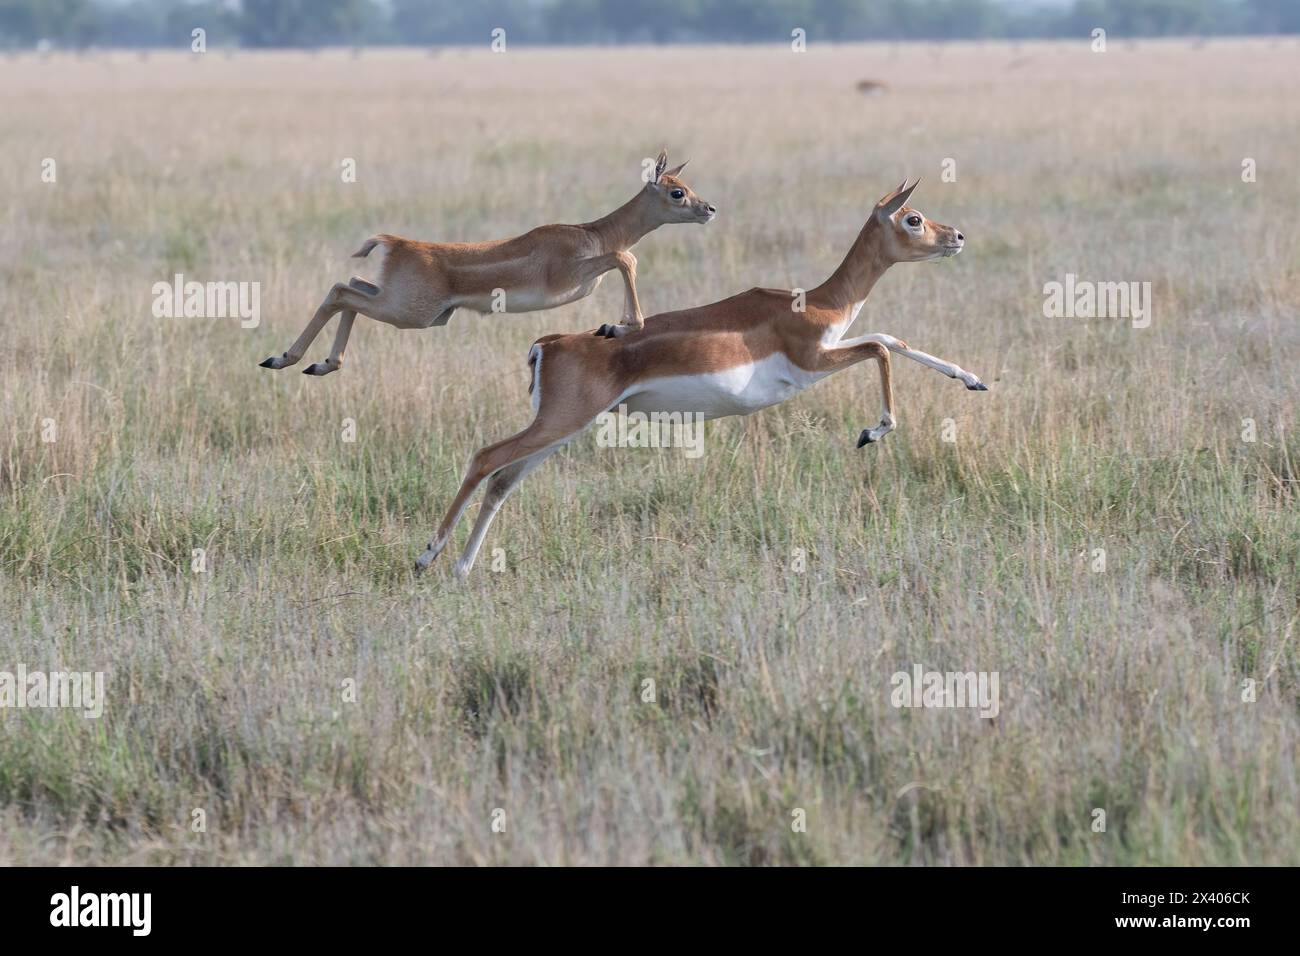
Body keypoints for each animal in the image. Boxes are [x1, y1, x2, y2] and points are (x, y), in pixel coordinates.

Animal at [258, 150, 716, 376]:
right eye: (676, 192)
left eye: (686, 184)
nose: (709, 208)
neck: (593, 232)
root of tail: (395, 242)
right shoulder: (574, 274)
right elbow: (626, 256)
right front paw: (614, 326)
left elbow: (626, 257)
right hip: (408, 313)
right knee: (340, 292)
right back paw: (284, 358)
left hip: (404, 305)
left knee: (348, 285)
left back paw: (320, 364)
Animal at [415, 179, 989, 578]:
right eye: (913, 217)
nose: (959, 236)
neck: (820, 302)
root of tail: (548, 344)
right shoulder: (814, 362)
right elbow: (879, 348)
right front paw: (872, 431)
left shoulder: (830, 350)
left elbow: (892, 338)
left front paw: (973, 380)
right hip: (560, 423)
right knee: (485, 458)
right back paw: (427, 555)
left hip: (565, 429)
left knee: (502, 480)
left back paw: (462, 567)